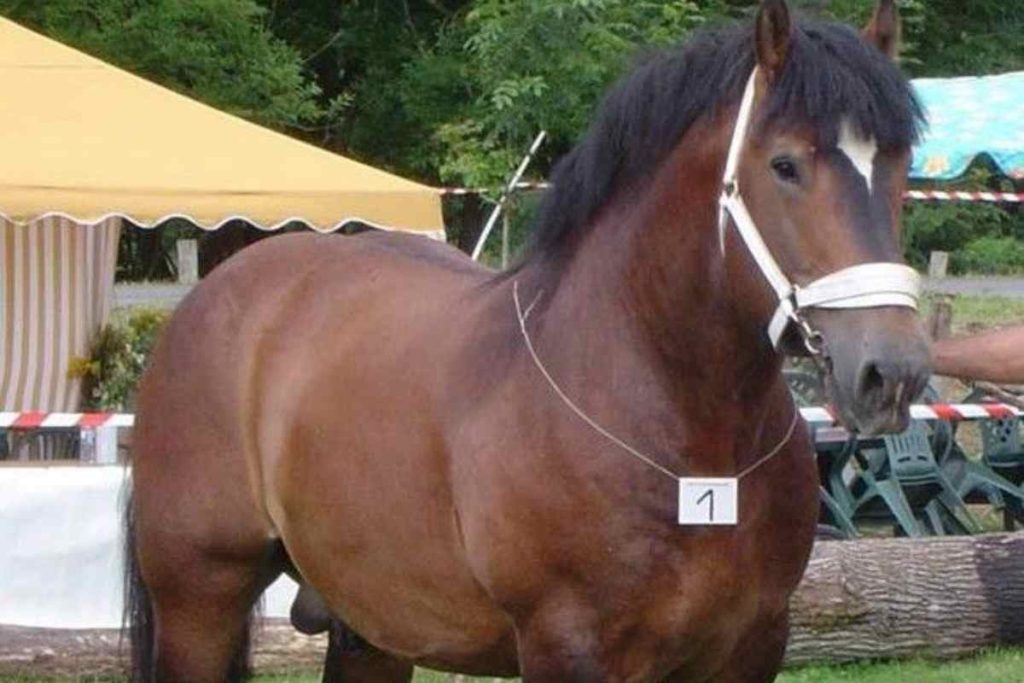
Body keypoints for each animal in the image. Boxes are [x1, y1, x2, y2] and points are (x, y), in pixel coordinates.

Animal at [125, 0, 930, 680]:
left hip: (372, 630)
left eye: (899, 167)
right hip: (201, 599)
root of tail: (214, 298)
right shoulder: (567, 648)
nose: (890, 370)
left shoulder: (751, 648)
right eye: (785, 164)